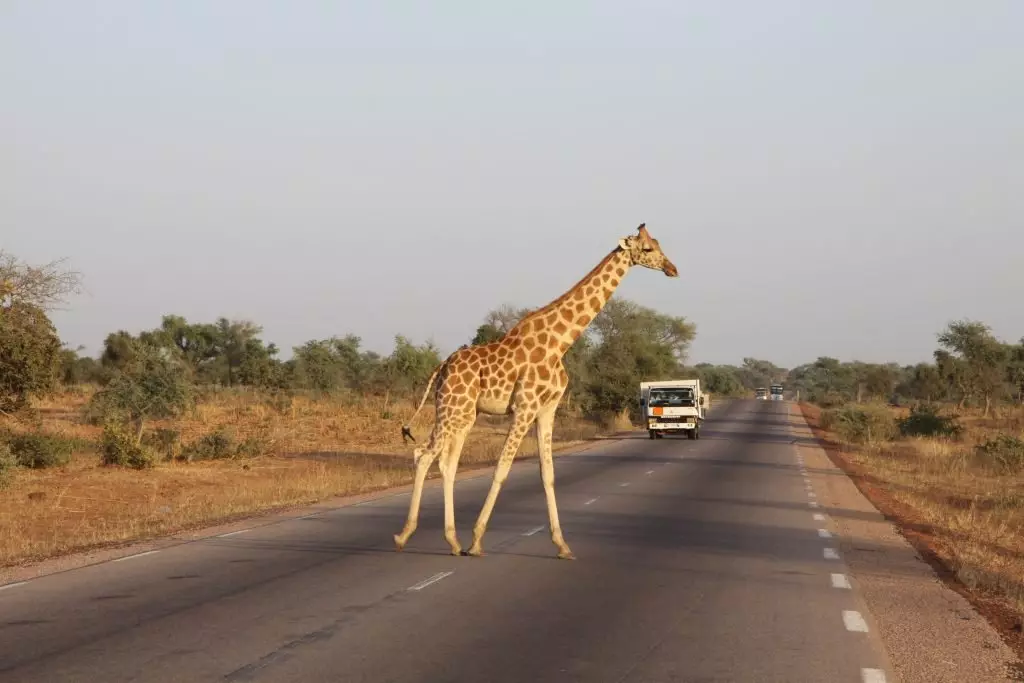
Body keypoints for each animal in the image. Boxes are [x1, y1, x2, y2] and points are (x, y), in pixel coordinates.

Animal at [395, 224, 675, 561]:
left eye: (657, 244)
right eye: (647, 249)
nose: (672, 269)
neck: (559, 342)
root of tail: (442, 366)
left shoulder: (546, 409)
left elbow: (548, 474)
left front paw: (562, 545)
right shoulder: (524, 407)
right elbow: (502, 469)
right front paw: (477, 541)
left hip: (463, 414)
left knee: (446, 464)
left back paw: (451, 541)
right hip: (452, 409)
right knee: (423, 455)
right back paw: (405, 535)